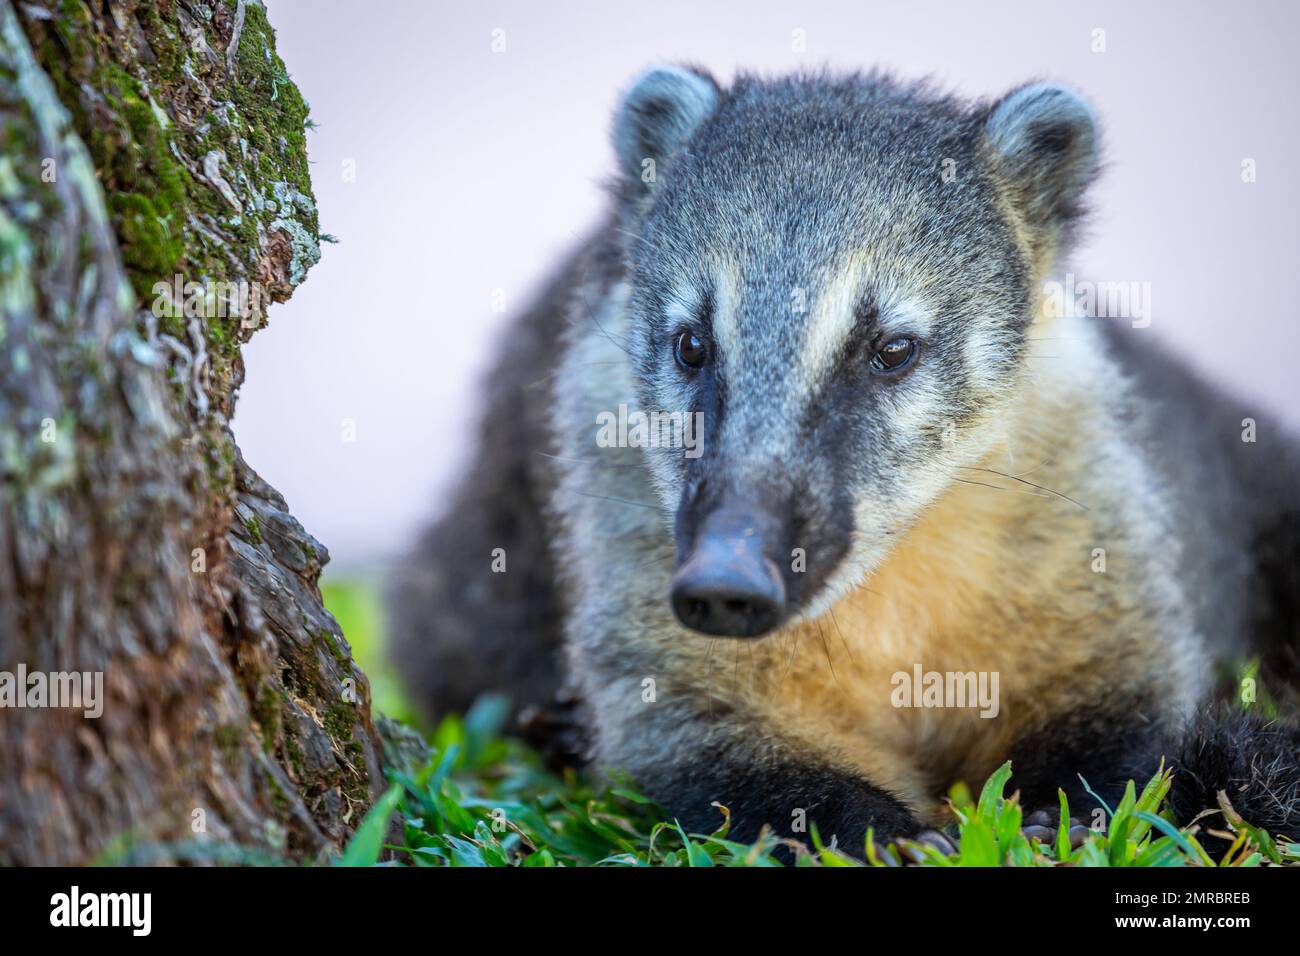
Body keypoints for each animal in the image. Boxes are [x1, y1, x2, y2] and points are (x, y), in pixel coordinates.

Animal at [391, 66, 1300, 850]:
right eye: (691, 345)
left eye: (891, 350)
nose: (726, 583)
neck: (884, 571)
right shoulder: (625, 520)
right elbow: (692, 734)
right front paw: (878, 831)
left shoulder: (1089, 499)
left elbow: (1130, 704)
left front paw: (1067, 806)